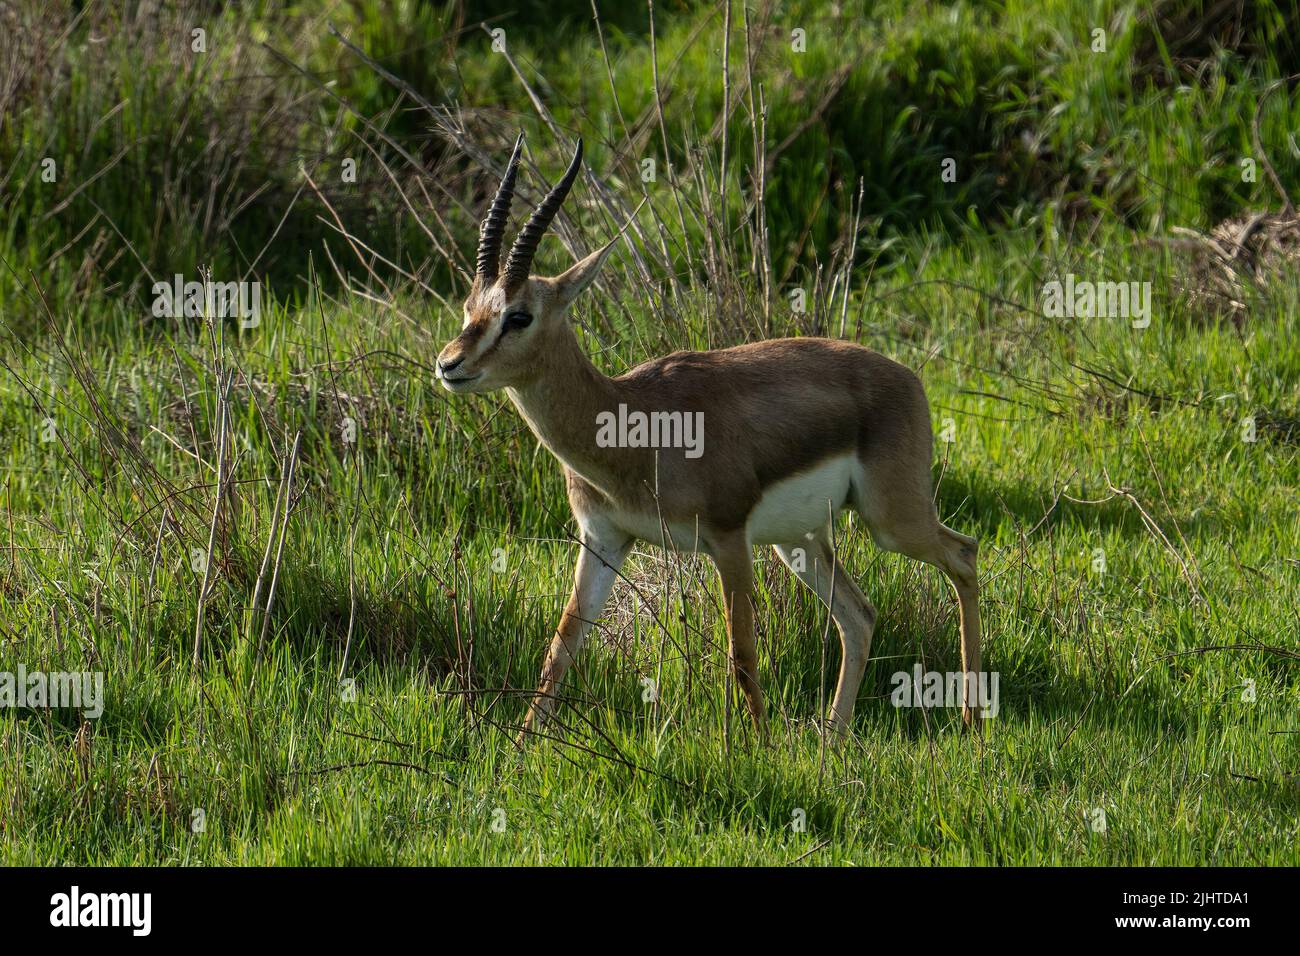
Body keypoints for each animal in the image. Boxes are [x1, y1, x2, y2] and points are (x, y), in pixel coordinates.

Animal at [437, 134, 982, 740]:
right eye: (470, 307)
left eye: (519, 316)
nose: (449, 365)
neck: (631, 426)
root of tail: (907, 377)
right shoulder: (604, 539)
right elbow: (563, 644)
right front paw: (522, 745)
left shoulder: (727, 537)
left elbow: (742, 652)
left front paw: (759, 747)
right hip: (800, 541)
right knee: (860, 616)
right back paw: (834, 736)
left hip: (891, 522)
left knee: (963, 555)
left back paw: (971, 717)